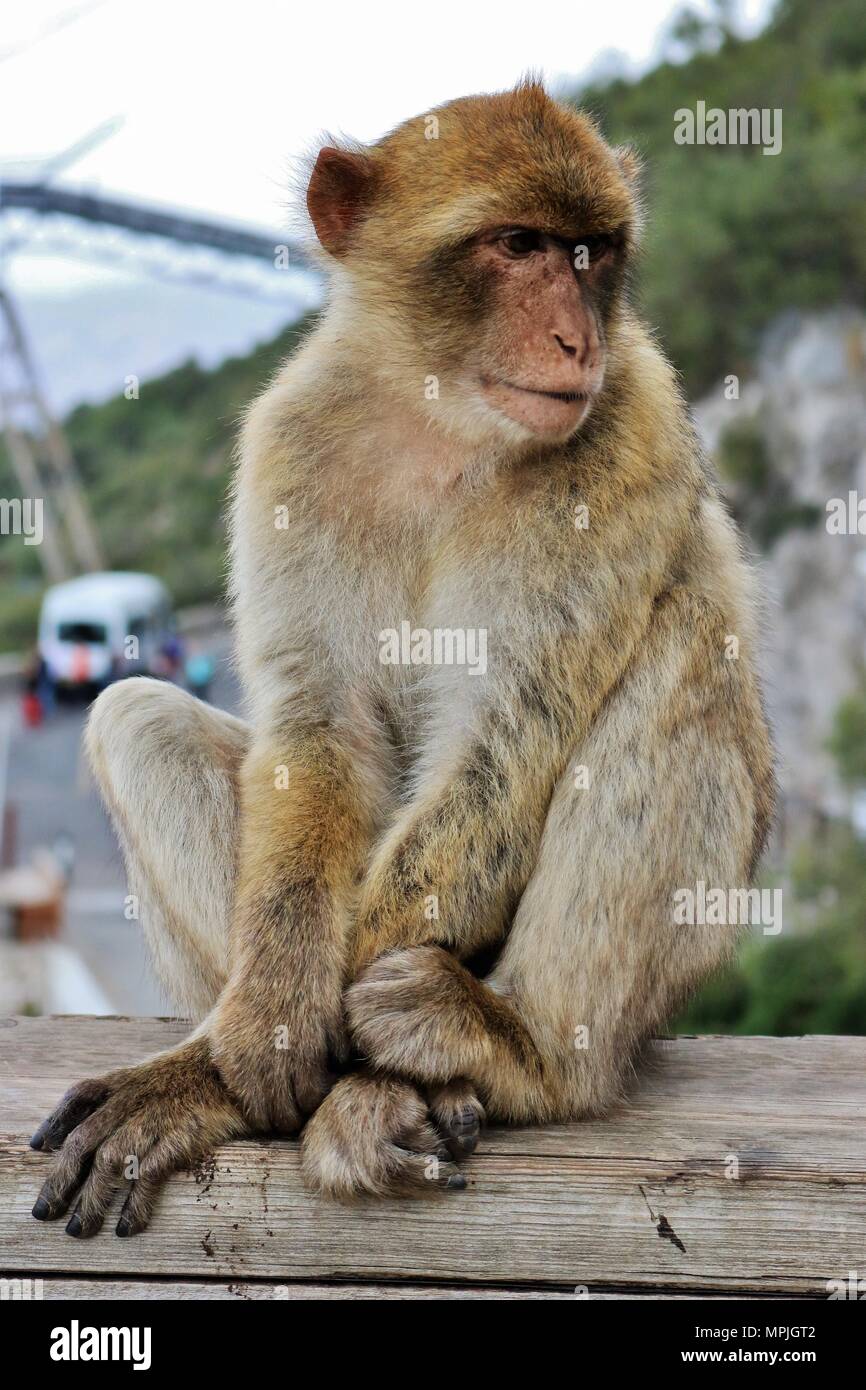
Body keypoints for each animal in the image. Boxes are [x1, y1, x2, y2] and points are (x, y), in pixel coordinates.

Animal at [29, 80, 774, 1234]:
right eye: (516, 245)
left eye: (591, 254)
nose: (576, 341)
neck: (444, 422)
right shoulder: (287, 446)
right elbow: (318, 730)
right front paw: (255, 1040)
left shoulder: (632, 430)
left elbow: (503, 740)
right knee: (133, 716)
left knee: (682, 642)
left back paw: (496, 1055)